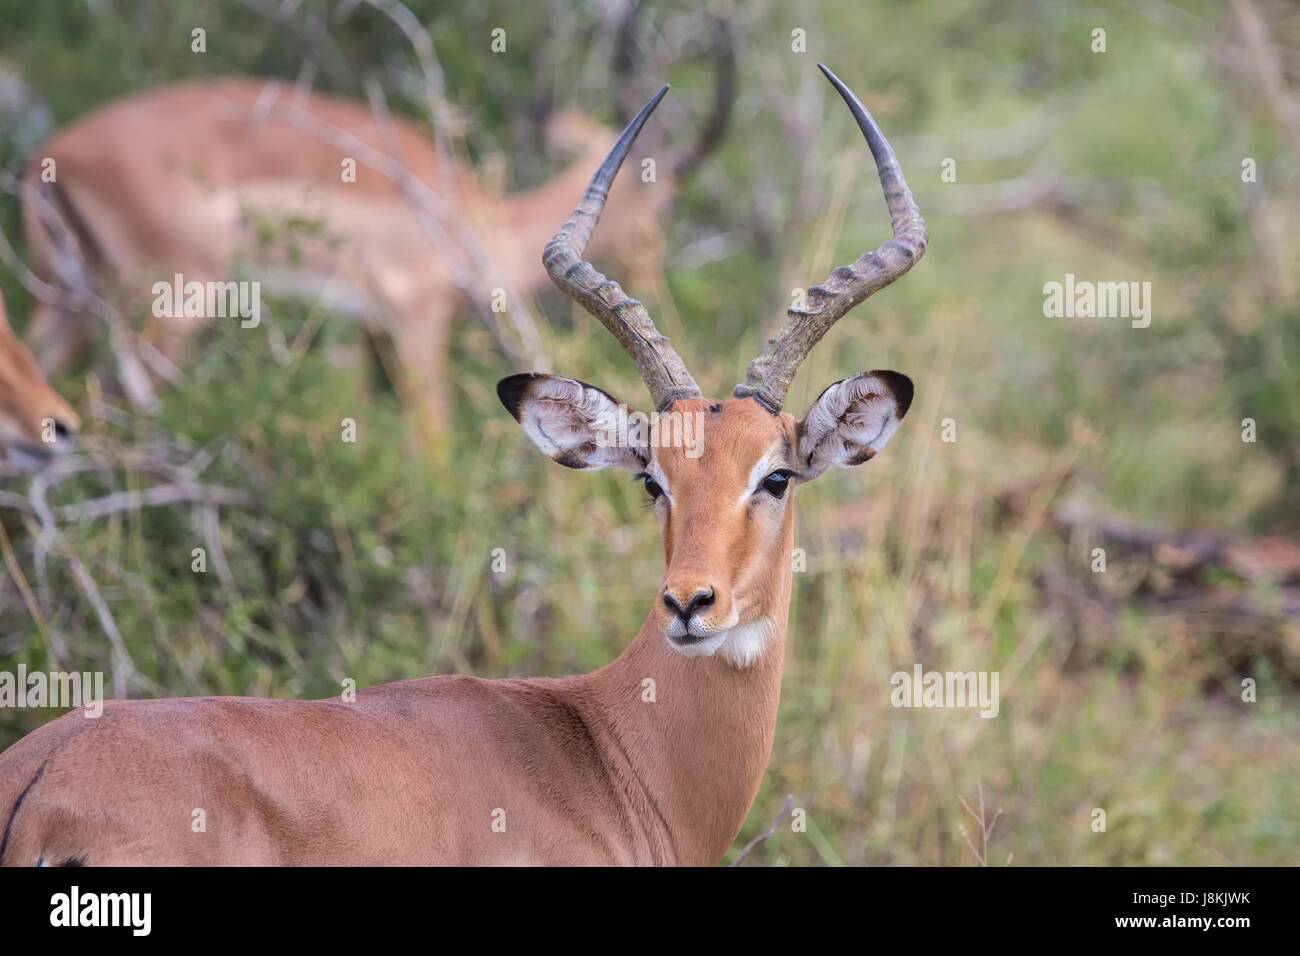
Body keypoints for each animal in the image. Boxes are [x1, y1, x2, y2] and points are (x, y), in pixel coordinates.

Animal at [20, 44, 730, 431]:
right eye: (664, 205)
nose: (661, 294)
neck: (471, 216)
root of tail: (51, 157)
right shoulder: (415, 322)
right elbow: (433, 441)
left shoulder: (358, 330)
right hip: (177, 300)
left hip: (67, 305)